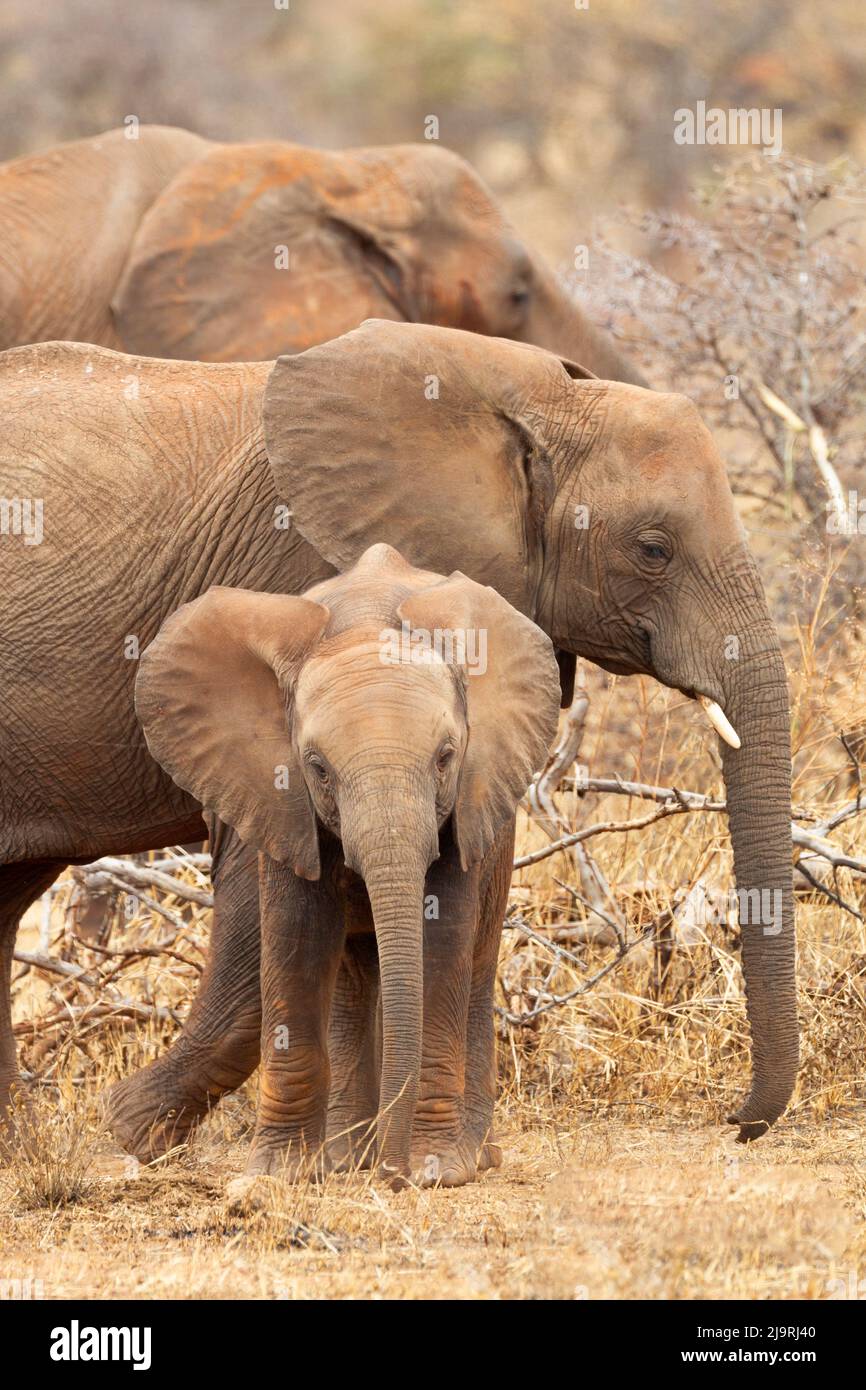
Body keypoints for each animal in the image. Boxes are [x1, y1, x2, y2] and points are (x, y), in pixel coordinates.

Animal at [134, 544, 561, 1185]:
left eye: (445, 757)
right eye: (317, 767)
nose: (394, 1174)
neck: (365, 617)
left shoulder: (466, 801)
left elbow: (441, 943)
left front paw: (435, 1169)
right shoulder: (279, 800)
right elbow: (296, 939)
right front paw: (280, 1173)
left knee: (477, 964)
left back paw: (467, 1156)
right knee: (353, 978)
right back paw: (345, 1157)